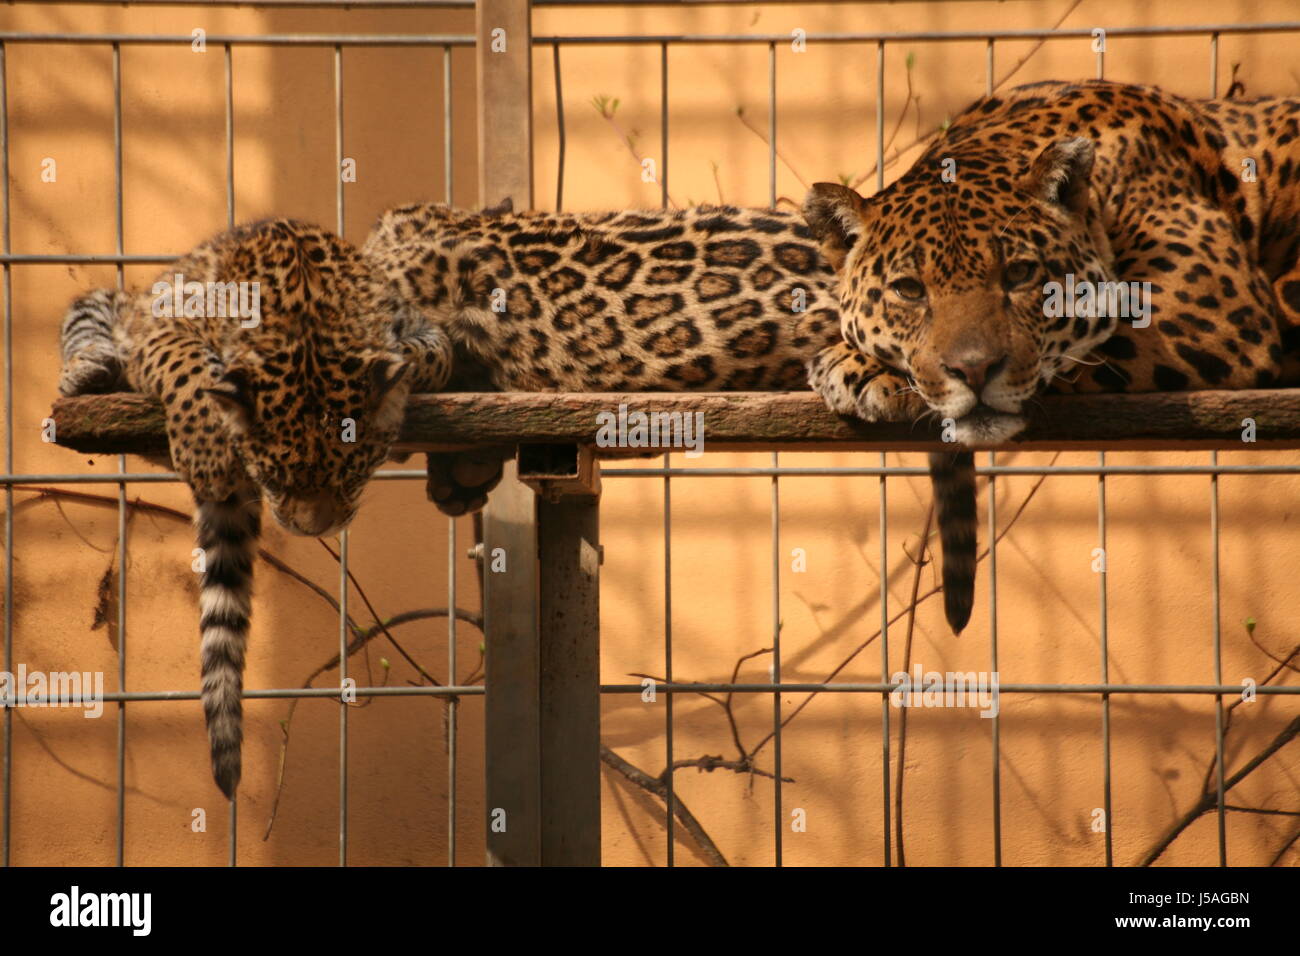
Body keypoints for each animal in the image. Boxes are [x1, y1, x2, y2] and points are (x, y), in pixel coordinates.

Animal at [58, 218, 452, 798]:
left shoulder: (420, 325)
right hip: (112, 302)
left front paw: (403, 373)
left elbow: (429, 355)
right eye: (273, 478)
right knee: (89, 323)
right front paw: (206, 447)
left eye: (354, 475)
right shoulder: (162, 321)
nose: (314, 530)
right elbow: (187, 365)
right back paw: (89, 372)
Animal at [802, 79, 1300, 633]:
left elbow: (1084, 352)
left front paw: (851, 365)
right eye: (909, 289)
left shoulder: (1206, 302)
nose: (973, 369)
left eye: (1019, 274)